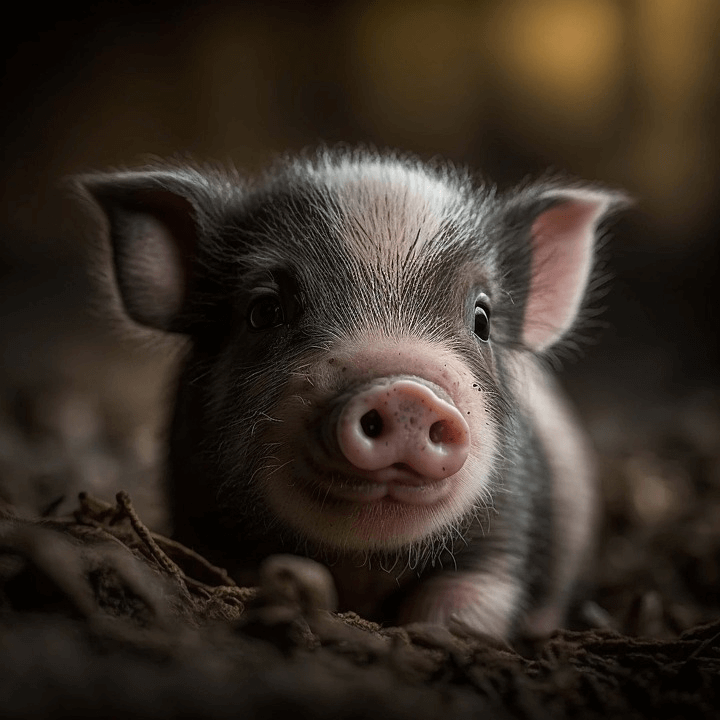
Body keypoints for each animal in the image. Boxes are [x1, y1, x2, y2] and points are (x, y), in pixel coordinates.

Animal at [77, 148, 625, 640]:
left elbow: (467, 600)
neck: (365, 565)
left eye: (483, 319)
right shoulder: (205, 513)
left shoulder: (506, 524)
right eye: (264, 311)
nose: (406, 394)